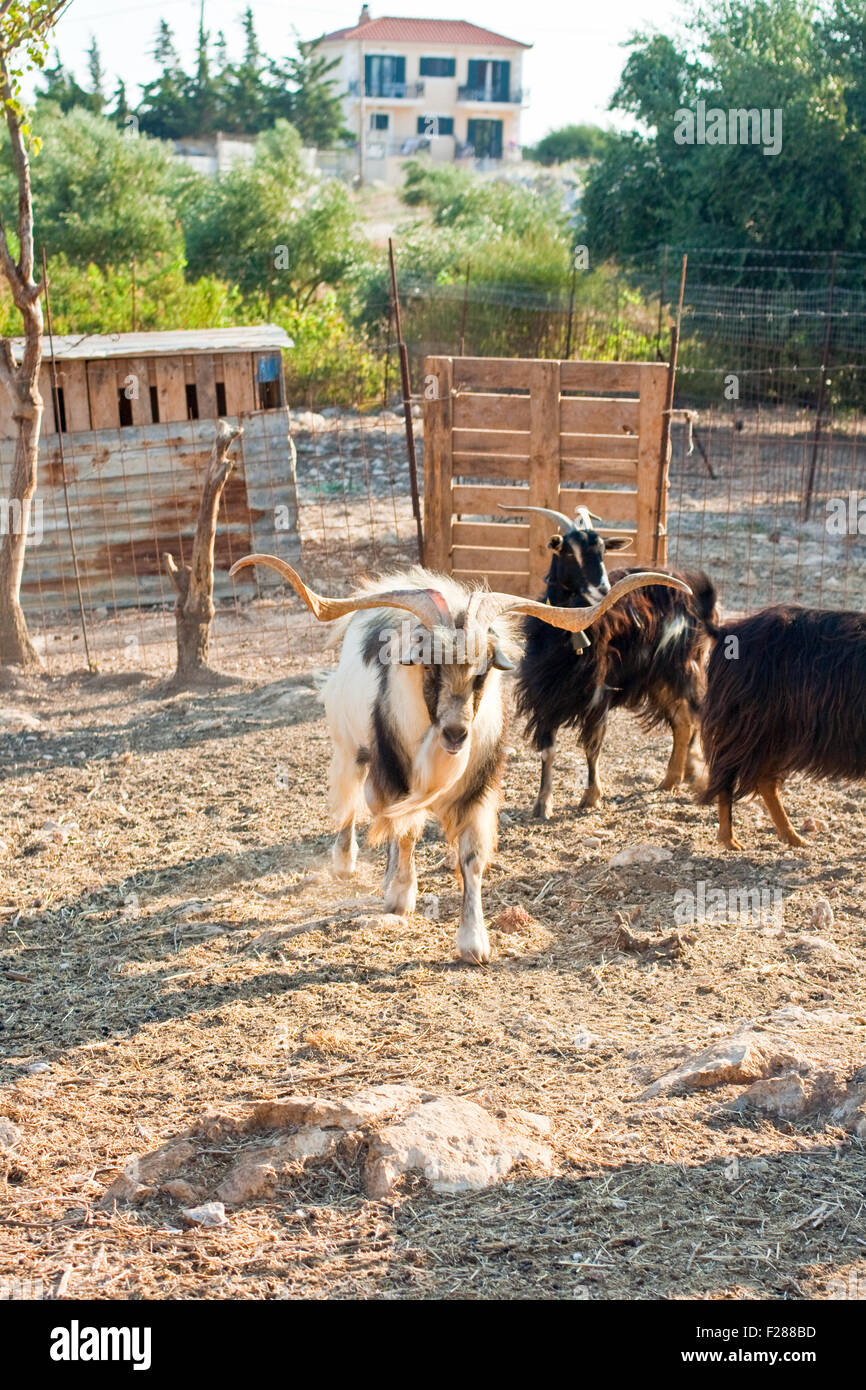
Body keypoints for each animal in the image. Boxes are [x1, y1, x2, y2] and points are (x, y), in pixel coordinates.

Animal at [229, 553, 691, 963]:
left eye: (482, 671)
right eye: (429, 667)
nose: (455, 733)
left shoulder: (476, 795)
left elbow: (469, 859)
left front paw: (474, 943)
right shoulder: (394, 776)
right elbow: (403, 830)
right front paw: (401, 897)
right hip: (348, 748)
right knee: (349, 804)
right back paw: (346, 863)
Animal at [504, 505, 717, 819]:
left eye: (603, 550)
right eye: (569, 551)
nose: (603, 589)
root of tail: (699, 592)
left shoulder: (598, 692)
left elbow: (592, 746)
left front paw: (591, 797)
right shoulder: (544, 694)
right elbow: (548, 750)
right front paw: (542, 805)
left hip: (682, 668)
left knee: (694, 718)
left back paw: (687, 776)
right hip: (657, 679)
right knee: (682, 723)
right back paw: (670, 780)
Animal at [700, 604, 866, 849]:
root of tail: (725, 631)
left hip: (777, 735)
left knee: (765, 781)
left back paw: (793, 837)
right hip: (746, 728)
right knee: (726, 776)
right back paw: (730, 840)